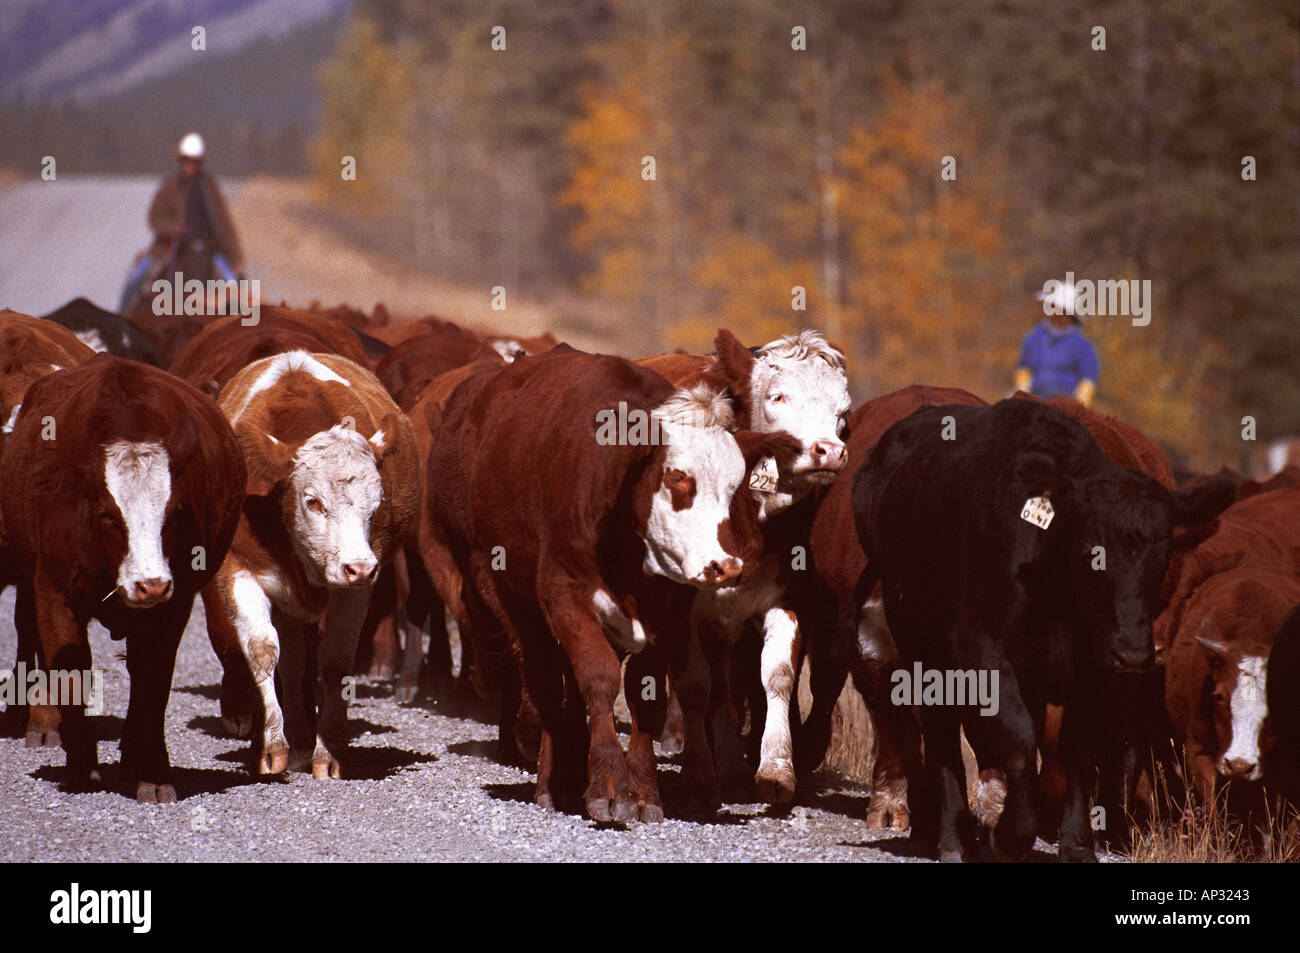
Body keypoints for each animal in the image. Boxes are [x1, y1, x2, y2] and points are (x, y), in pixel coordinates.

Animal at [0, 354, 245, 802]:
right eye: (106, 515)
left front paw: (154, 772)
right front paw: (80, 768)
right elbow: (71, 671)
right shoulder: (52, 591)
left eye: (174, 512)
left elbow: (153, 680)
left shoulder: (175, 603)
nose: (151, 585)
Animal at [204, 350, 418, 778]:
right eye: (313, 501)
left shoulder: (356, 590)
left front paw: (329, 751)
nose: (360, 566)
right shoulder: (239, 569)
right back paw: (298, 737)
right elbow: (263, 651)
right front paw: (272, 748)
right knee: (289, 657)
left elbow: (334, 661)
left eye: (377, 504)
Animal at [427, 345, 791, 820]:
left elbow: (644, 694)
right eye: (677, 477)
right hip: (511, 598)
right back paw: (552, 780)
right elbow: (598, 678)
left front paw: (643, 789)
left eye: (735, 486)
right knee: (545, 682)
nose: (725, 566)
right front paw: (607, 784)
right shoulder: (564, 594)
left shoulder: (670, 611)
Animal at [850, 398, 1234, 861]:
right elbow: (1016, 738)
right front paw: (1010, 834)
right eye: (1090, 551)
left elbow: (1074, 750)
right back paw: (953, 838)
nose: (1132, 652)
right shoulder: (983, 650)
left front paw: (1077, 843)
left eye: (1162, 553)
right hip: (920, 640)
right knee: (942, 734)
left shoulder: (1093, 669)